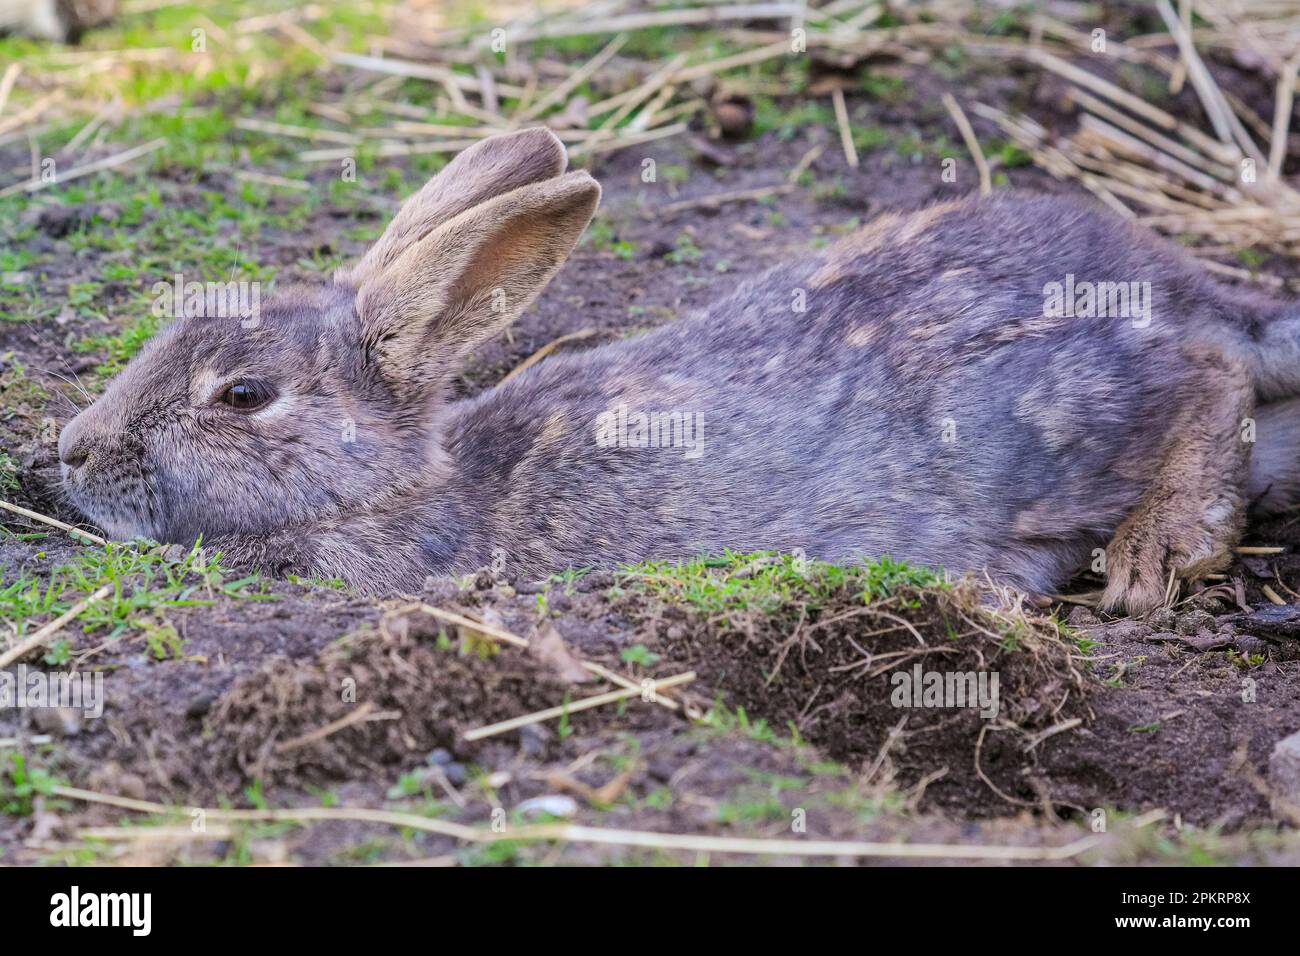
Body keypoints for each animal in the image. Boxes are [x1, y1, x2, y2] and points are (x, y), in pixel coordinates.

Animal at [55, 126, 1300, 616]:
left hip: (1040, 414)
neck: (402, 483)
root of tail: (1171, 282)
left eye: (244, 395)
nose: (72, 449)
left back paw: (1156, 549)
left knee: (1205, 378)